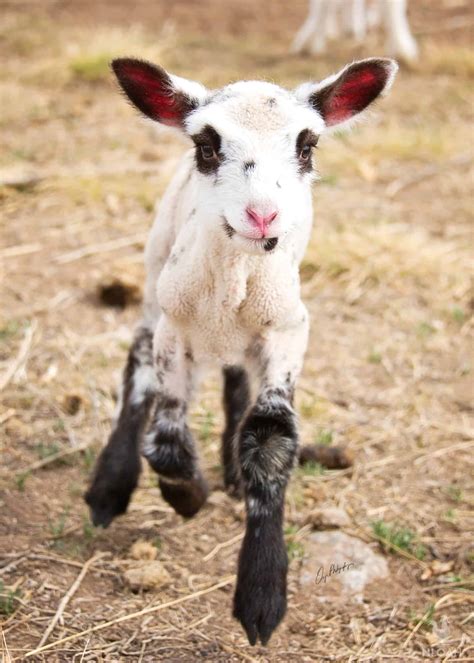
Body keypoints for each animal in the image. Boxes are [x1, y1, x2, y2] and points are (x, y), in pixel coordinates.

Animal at [85, 56, 398, 645]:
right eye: (206, 146)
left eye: (307, 146)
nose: (263, 216)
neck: (232, 284)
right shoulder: (175, 328)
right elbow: (165, 440)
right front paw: (189, 496)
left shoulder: (289, 328)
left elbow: (272, 435)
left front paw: (262, 594)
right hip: (154, 273)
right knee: (137, 367)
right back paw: (108, 489)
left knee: (236, 380)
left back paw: (229, 470)